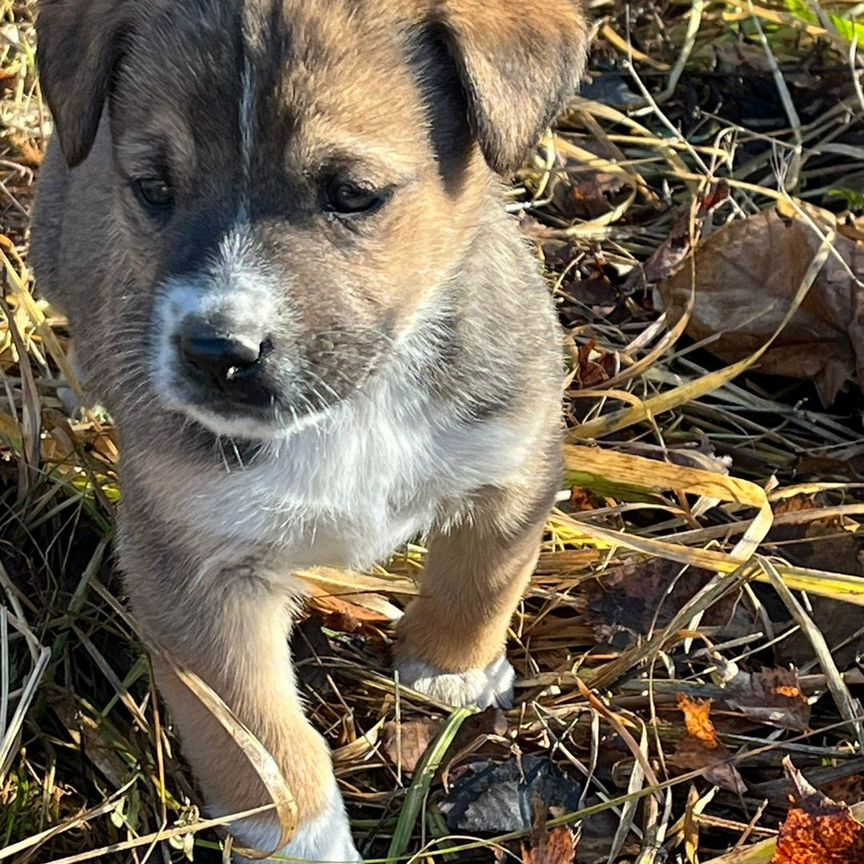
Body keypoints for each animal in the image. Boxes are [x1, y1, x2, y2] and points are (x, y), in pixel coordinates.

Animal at [33, 0, 588, 856]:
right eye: (152, 188)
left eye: (354, 193)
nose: (219, 353)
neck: (355, 407)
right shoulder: (193, 572)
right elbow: (260, 745)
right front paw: (307, 841)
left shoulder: (513, 461)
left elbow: (484, 578)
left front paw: (451, 670)